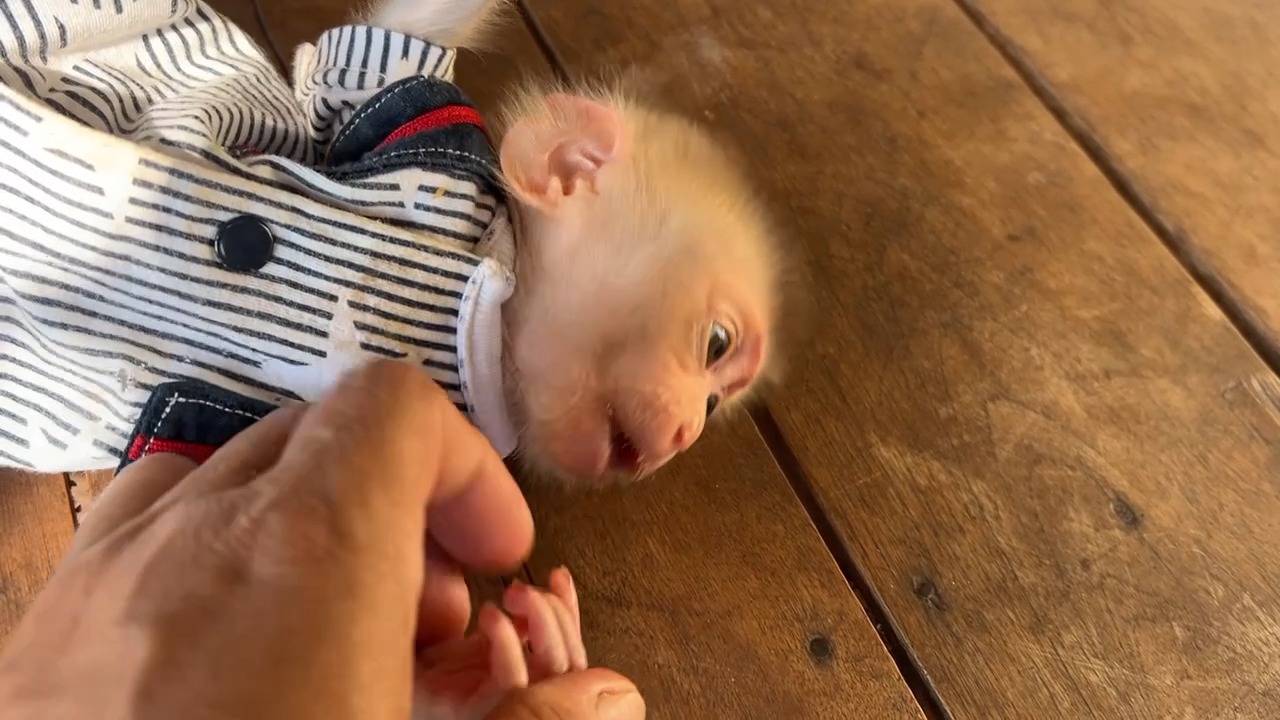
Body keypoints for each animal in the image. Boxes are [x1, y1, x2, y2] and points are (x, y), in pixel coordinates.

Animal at [0, 0, 785, 487]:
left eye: (716, 402)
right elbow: (360, 67)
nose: (686, 433)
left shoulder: (222, 426)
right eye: (717, 344)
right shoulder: (415, 131)